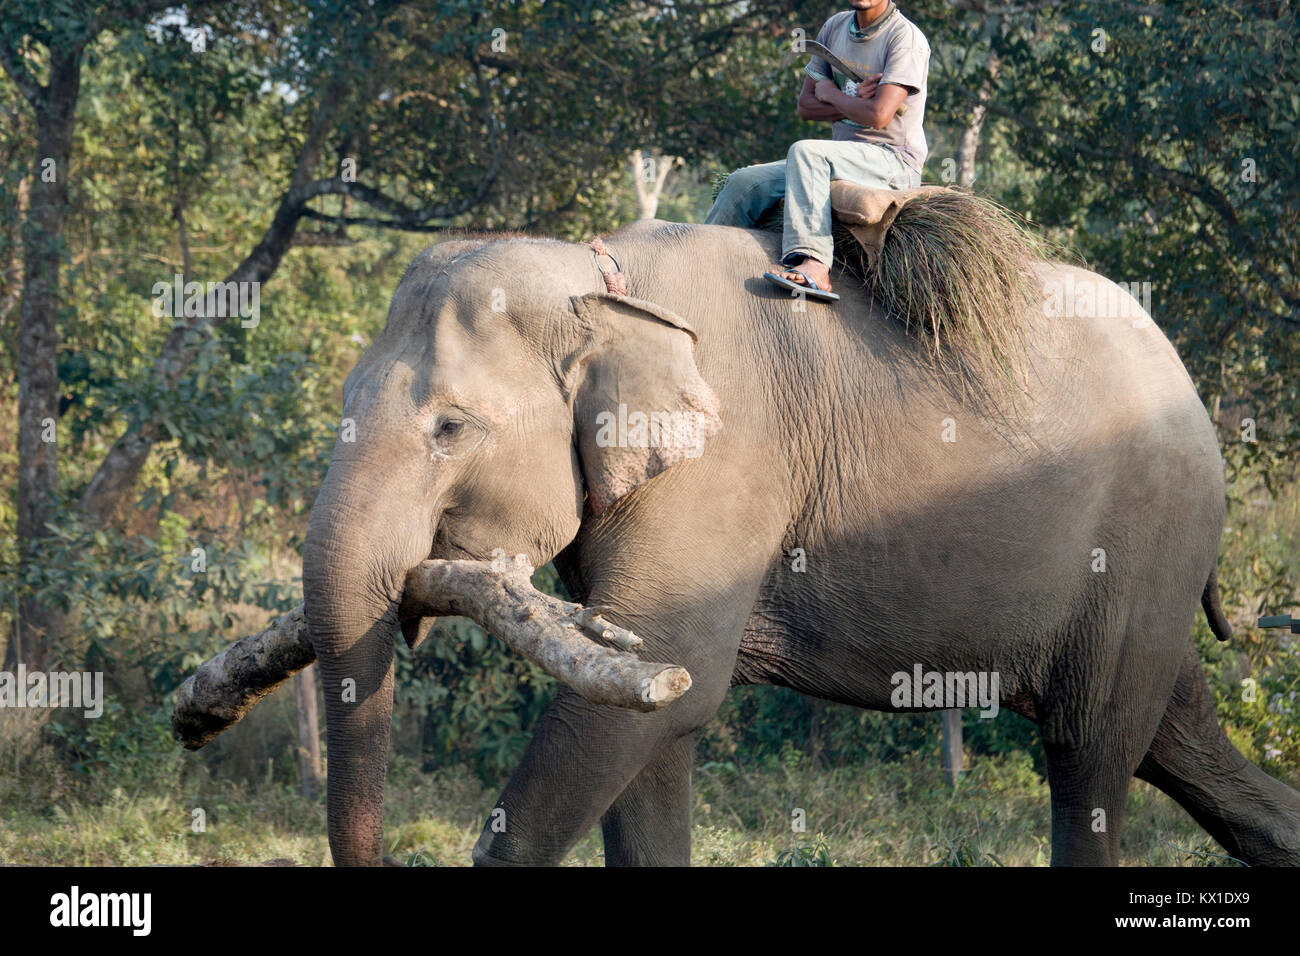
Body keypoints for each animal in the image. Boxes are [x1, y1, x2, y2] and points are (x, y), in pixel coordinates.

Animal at [300, 215, 1300, 867]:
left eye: (450, 429)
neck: (603, 279)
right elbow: (651, 705)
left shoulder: (730, 465)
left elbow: (662, 682)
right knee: (1176, 740)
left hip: (1150, 534)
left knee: (1087, 752)